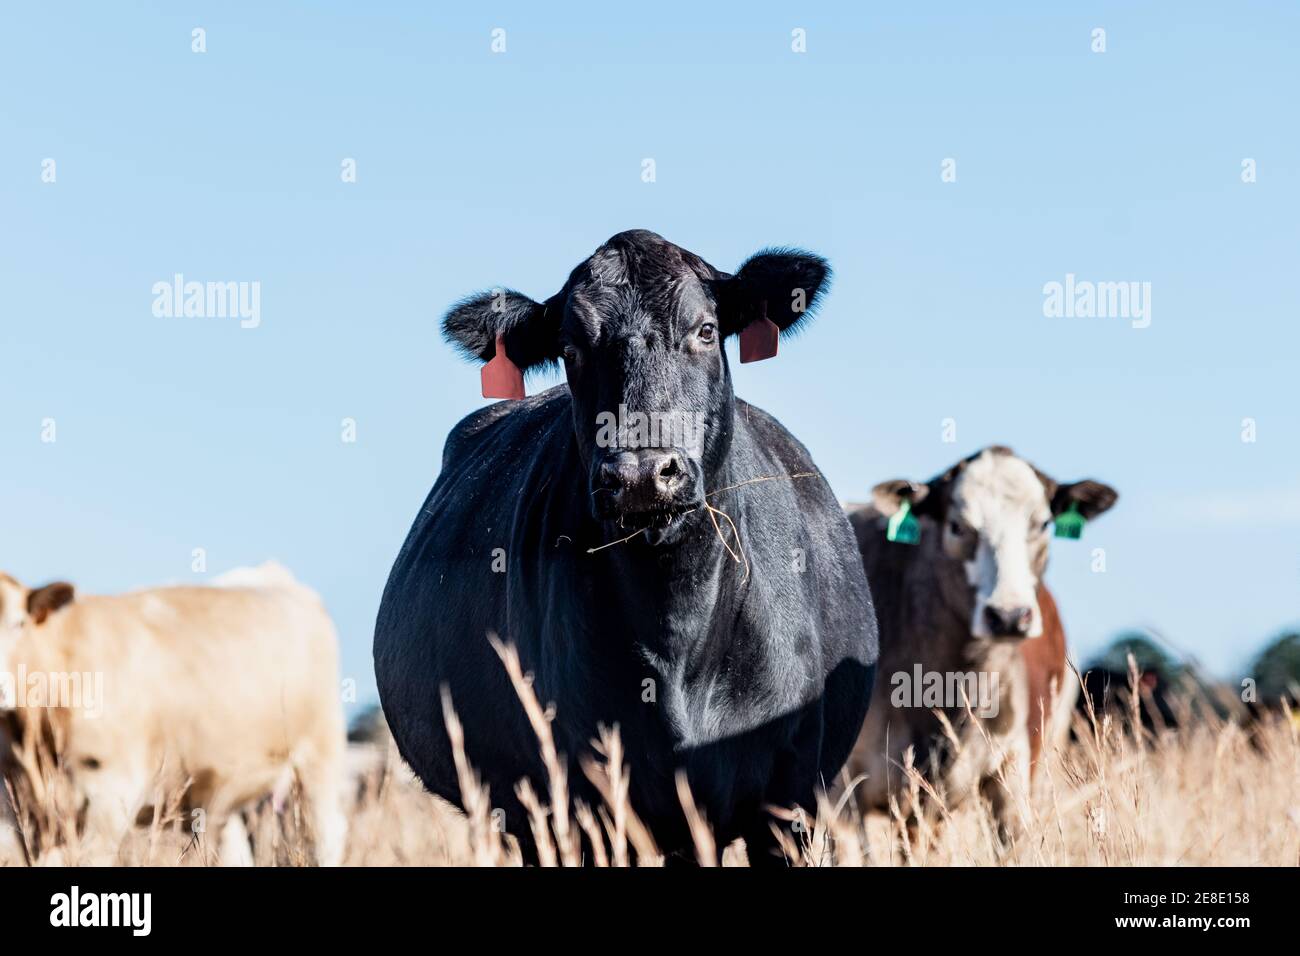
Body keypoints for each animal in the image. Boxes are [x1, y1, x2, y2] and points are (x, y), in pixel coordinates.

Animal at [374, 229, 878, 865]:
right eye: (570, 347)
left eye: (706, 330)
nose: (640, 474)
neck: (677, 629)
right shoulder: (577, 803)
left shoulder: (792, 799)